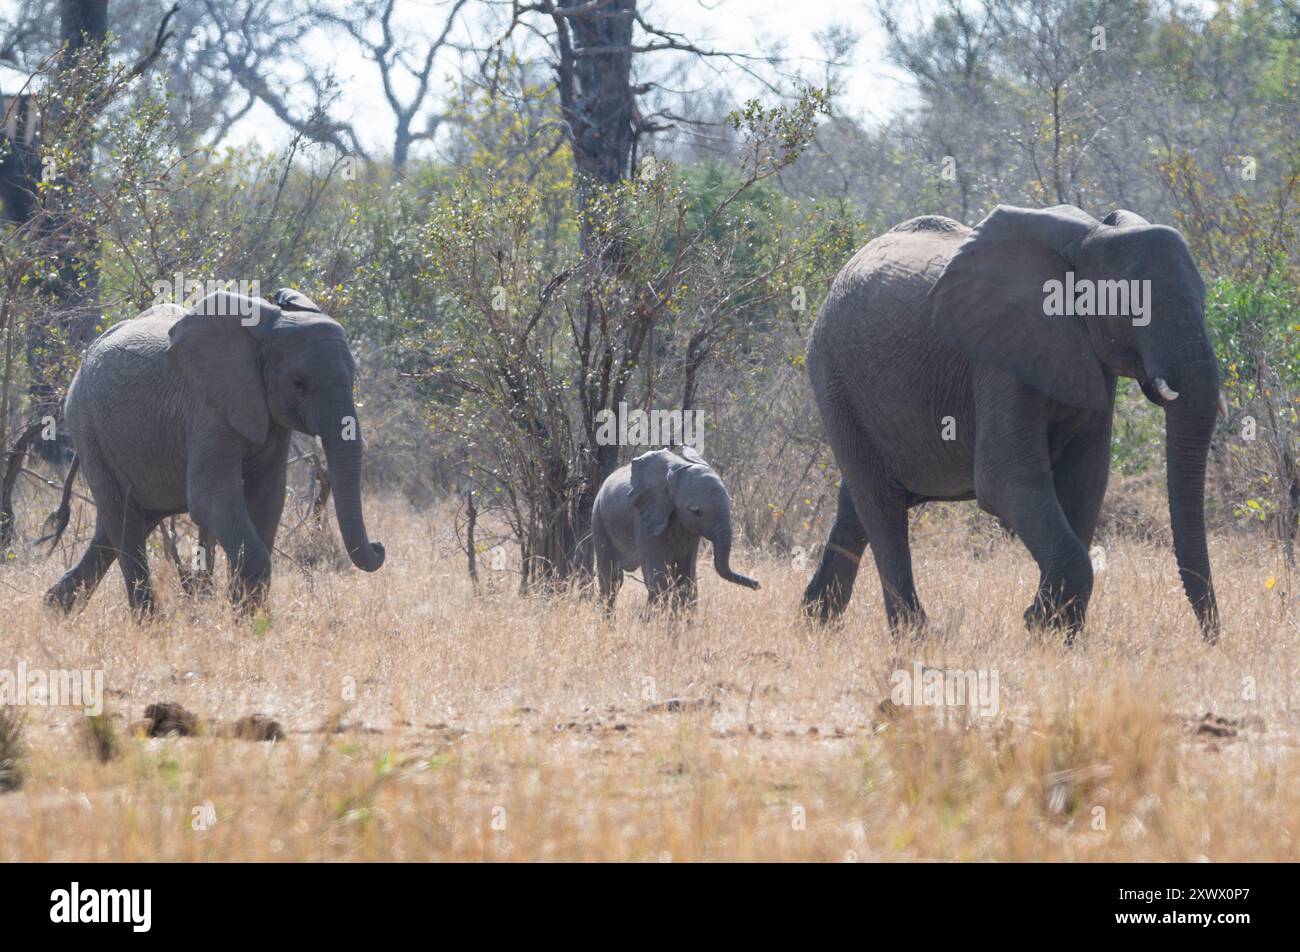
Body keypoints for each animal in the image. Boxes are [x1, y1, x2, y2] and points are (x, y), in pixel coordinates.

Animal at [44, 288, 385, 613]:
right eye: (298, 383)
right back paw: (147, 623)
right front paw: (248, 621)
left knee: (119, 526)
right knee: (125, 524)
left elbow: (268, 498)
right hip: (87, 428)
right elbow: (209, 496)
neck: (263, 333)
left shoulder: (271, 419)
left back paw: (53, 608)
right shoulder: (206, 408)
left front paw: (246, 616)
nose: (380, 546)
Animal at [592, 446, 760, 612]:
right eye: (696, 511)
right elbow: (659, 579)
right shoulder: (644, 518)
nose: (758, 584)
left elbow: (686, 578)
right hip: (599, 518)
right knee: (612, 579)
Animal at [801, 205, 1225, 642]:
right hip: (835, 377)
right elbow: (1004, 480)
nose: (1210, 639)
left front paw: (1055, 631)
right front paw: (1040, 623)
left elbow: (1086, 480)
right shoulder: (997, 355)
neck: (1090, 237)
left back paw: (816, 620)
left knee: (859, 501)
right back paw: (912, 637)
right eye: (1134, 309)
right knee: (881, 505)